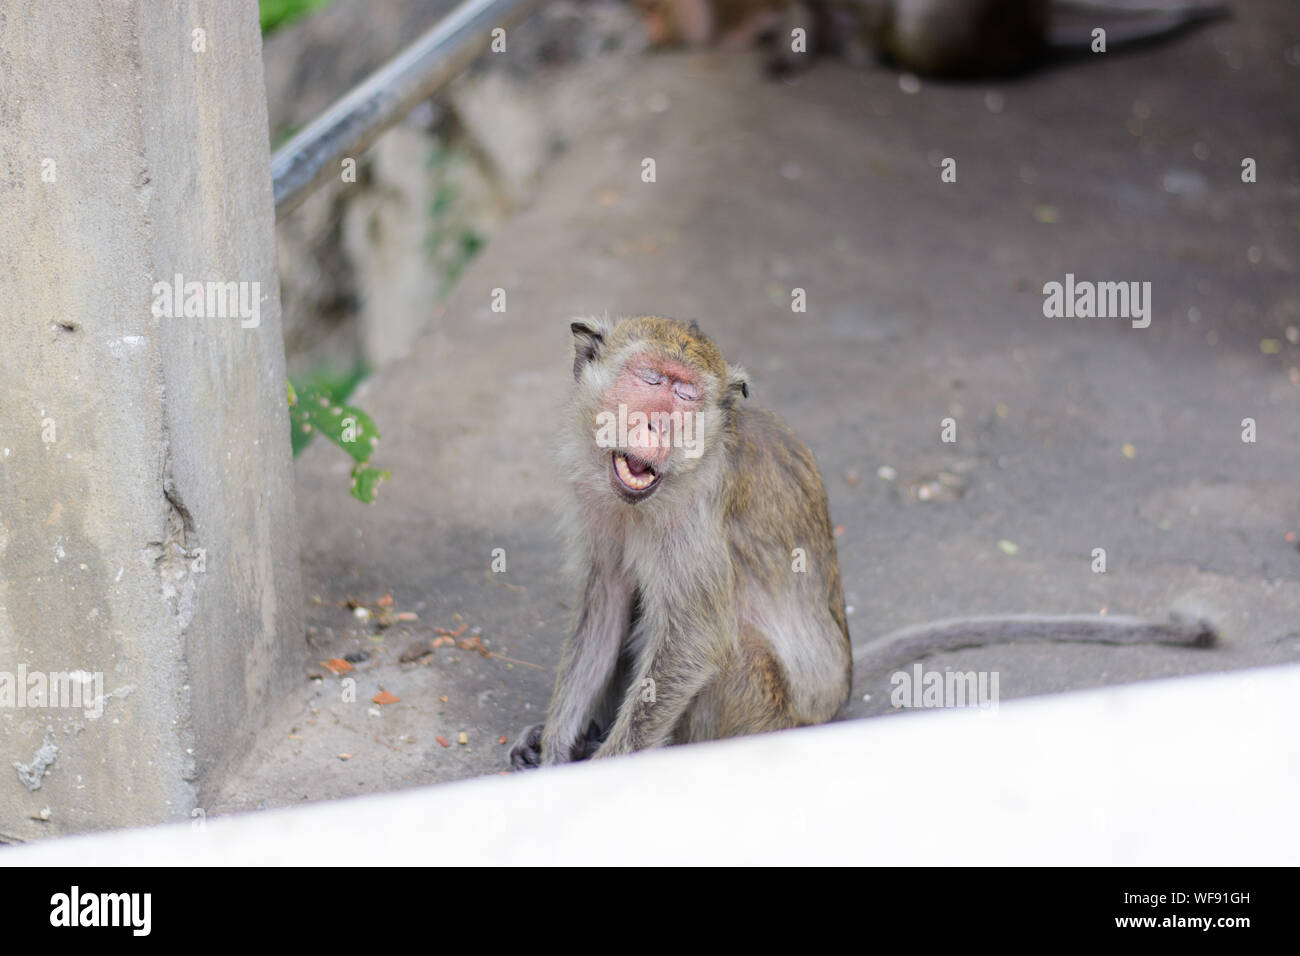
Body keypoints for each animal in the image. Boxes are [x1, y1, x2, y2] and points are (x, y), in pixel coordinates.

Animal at [510, 315, 852, 767]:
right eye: (649, 379)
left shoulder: (696, 511)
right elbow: (606, 603)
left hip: (766, 711)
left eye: (685, 394)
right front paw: (556, 750)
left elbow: (696, 639)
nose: (656, 424)